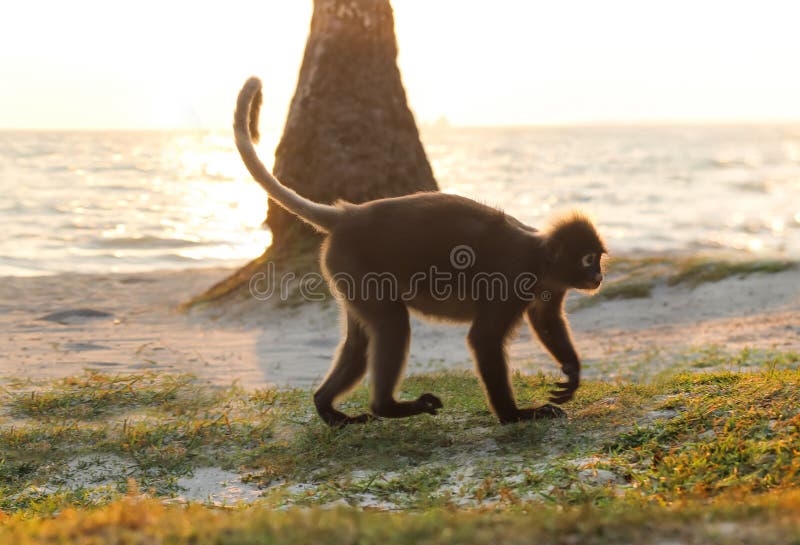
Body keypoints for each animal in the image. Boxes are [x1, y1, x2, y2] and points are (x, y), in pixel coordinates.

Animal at [233, 77, 607, 426]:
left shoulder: (550, 286)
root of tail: (348, 214)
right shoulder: (513, 280)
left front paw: (571, 370)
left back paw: (327, 407)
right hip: (355, 266)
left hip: (344, 271)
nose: (599, 276)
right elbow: (484, 339)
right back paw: (386, 406)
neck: (539, 256)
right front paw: (513, 415)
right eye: (589, 259)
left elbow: (546, 320)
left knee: (361, 340)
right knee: (392, 323)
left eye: (599, 258)